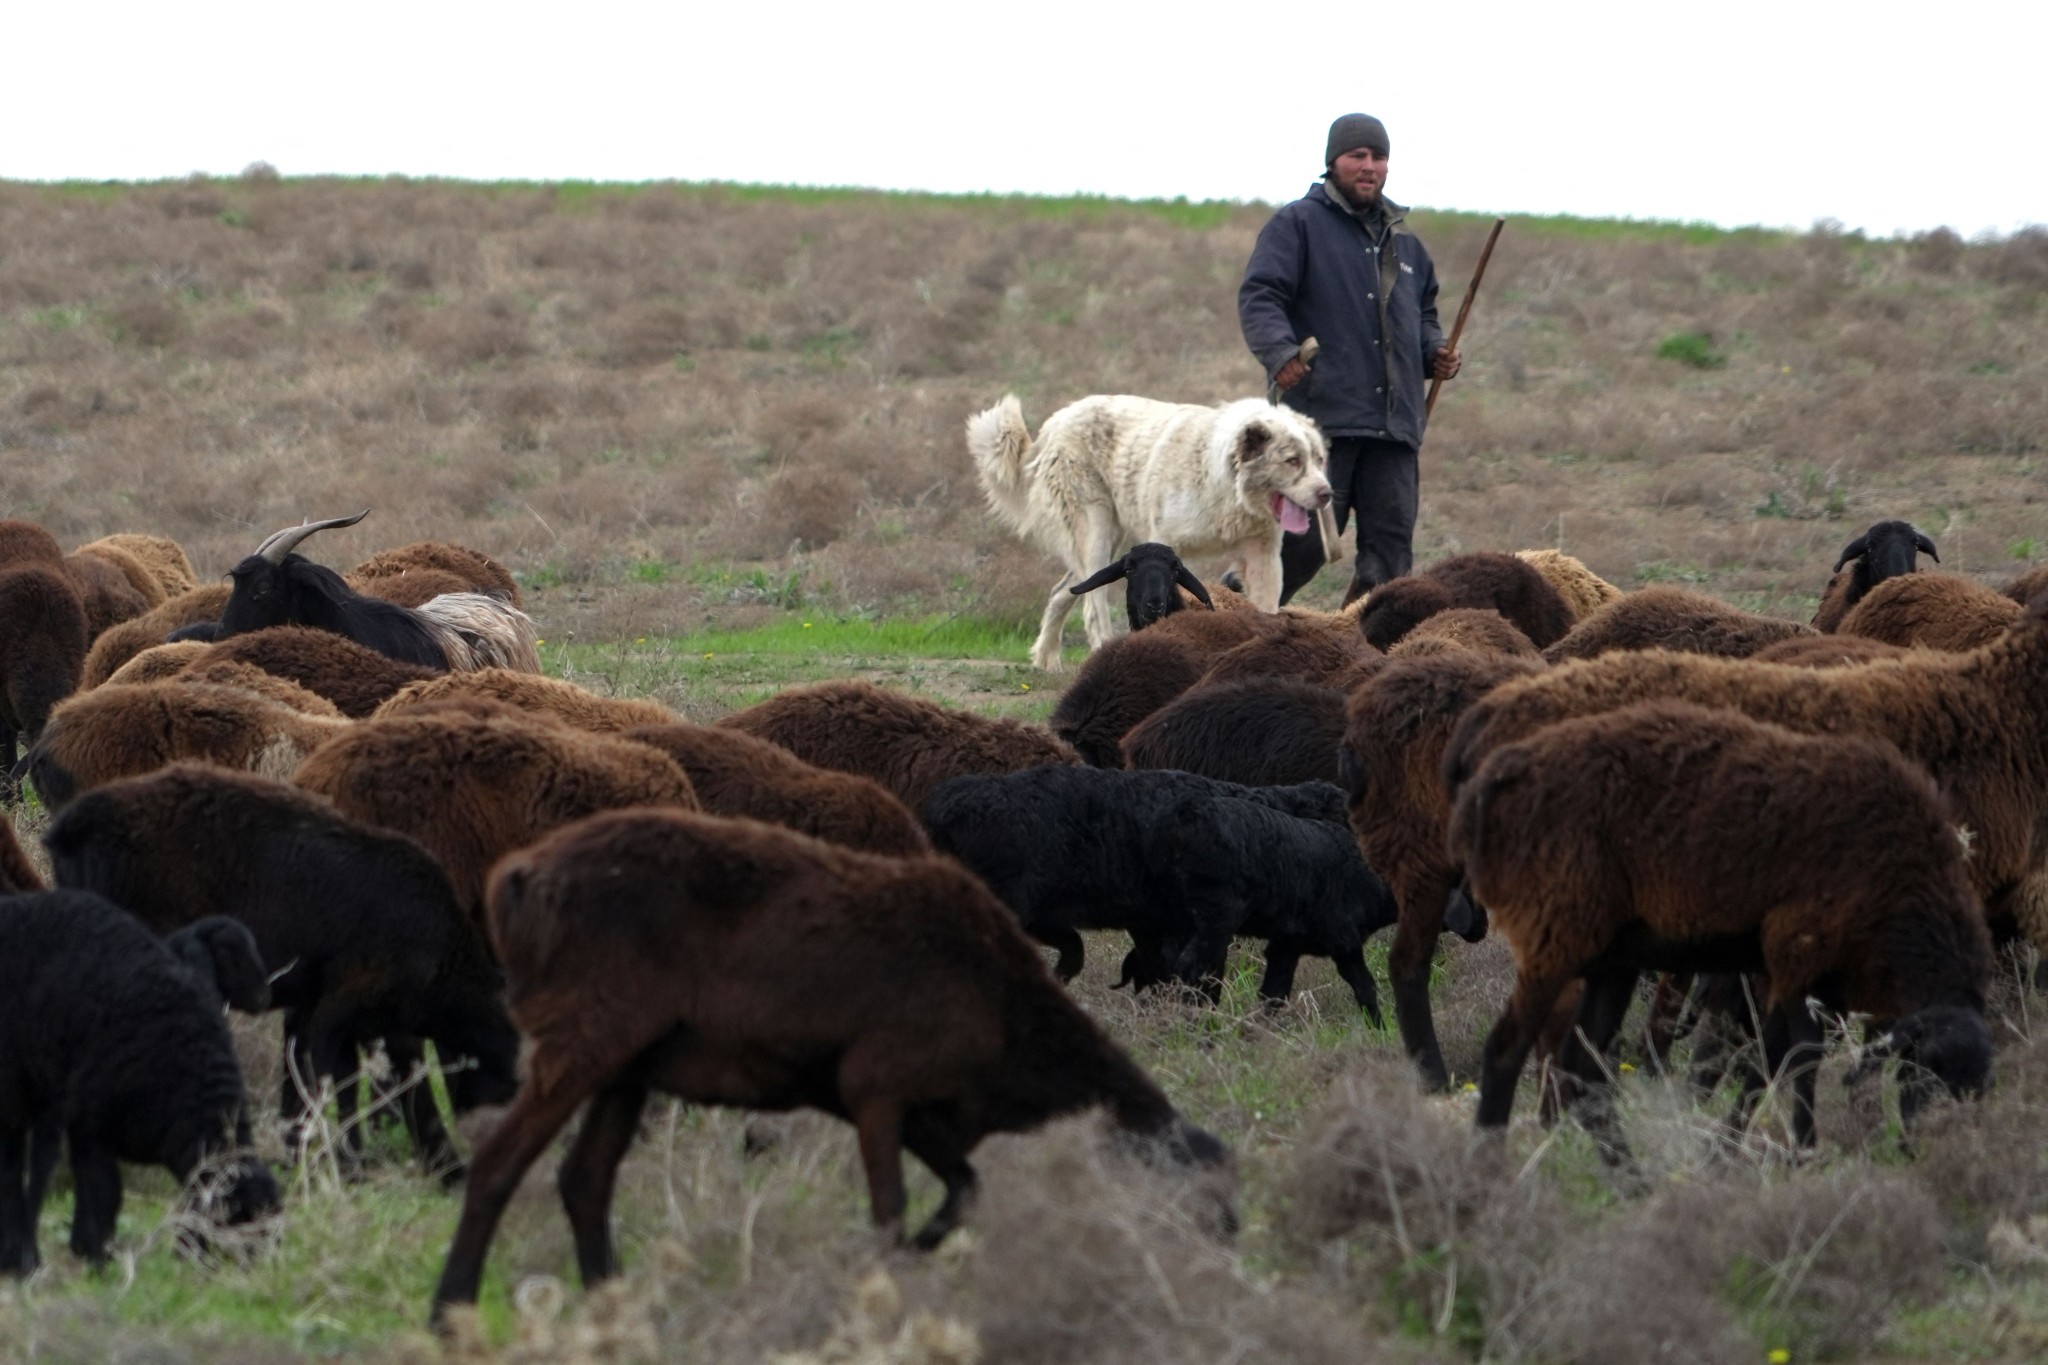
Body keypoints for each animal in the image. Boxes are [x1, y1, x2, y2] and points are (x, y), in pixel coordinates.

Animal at [0, 889, 279, 1275]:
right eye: (241, 1221)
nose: (267, 1276)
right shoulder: (90, 1125)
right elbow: (105, 1195)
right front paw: (97, 1260)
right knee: (12, 1165)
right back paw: (23, 1260)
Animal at [45, 765, 521, 1178]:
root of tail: (70, 828)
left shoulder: (332, 1011)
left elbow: (319, 1084)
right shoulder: (344, 1007)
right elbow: (349, 1085)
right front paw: (358, 1167)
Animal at [429, 807, 1231, 1318]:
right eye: (1196, 1205)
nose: (1220, 1281)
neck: (1015, 1022)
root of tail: (517, 880)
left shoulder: (923, 1109)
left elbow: (963, 1189)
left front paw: (907, 1260)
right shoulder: (877, 1086)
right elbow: (891, 1208)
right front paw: (882, 1283)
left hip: (628, 1062)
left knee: (584, 1180)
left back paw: (614, 1306)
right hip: (583, 1035)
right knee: (499, 1164)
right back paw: (450, 1311)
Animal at [1450, 700, 1994, 1145]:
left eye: (1978, 1088)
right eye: (1927, 1067)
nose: (1933, 1145)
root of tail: (1492, 782)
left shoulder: (1820, 978)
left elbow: (1767, 1059)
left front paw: (1726, 1151)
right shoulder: (1795, 951)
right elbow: (1800, 1055)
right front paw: (1801, 1149)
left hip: (1611, 959)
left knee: (1581, 1068)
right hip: (1555, 934)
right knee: (1505, 1053)